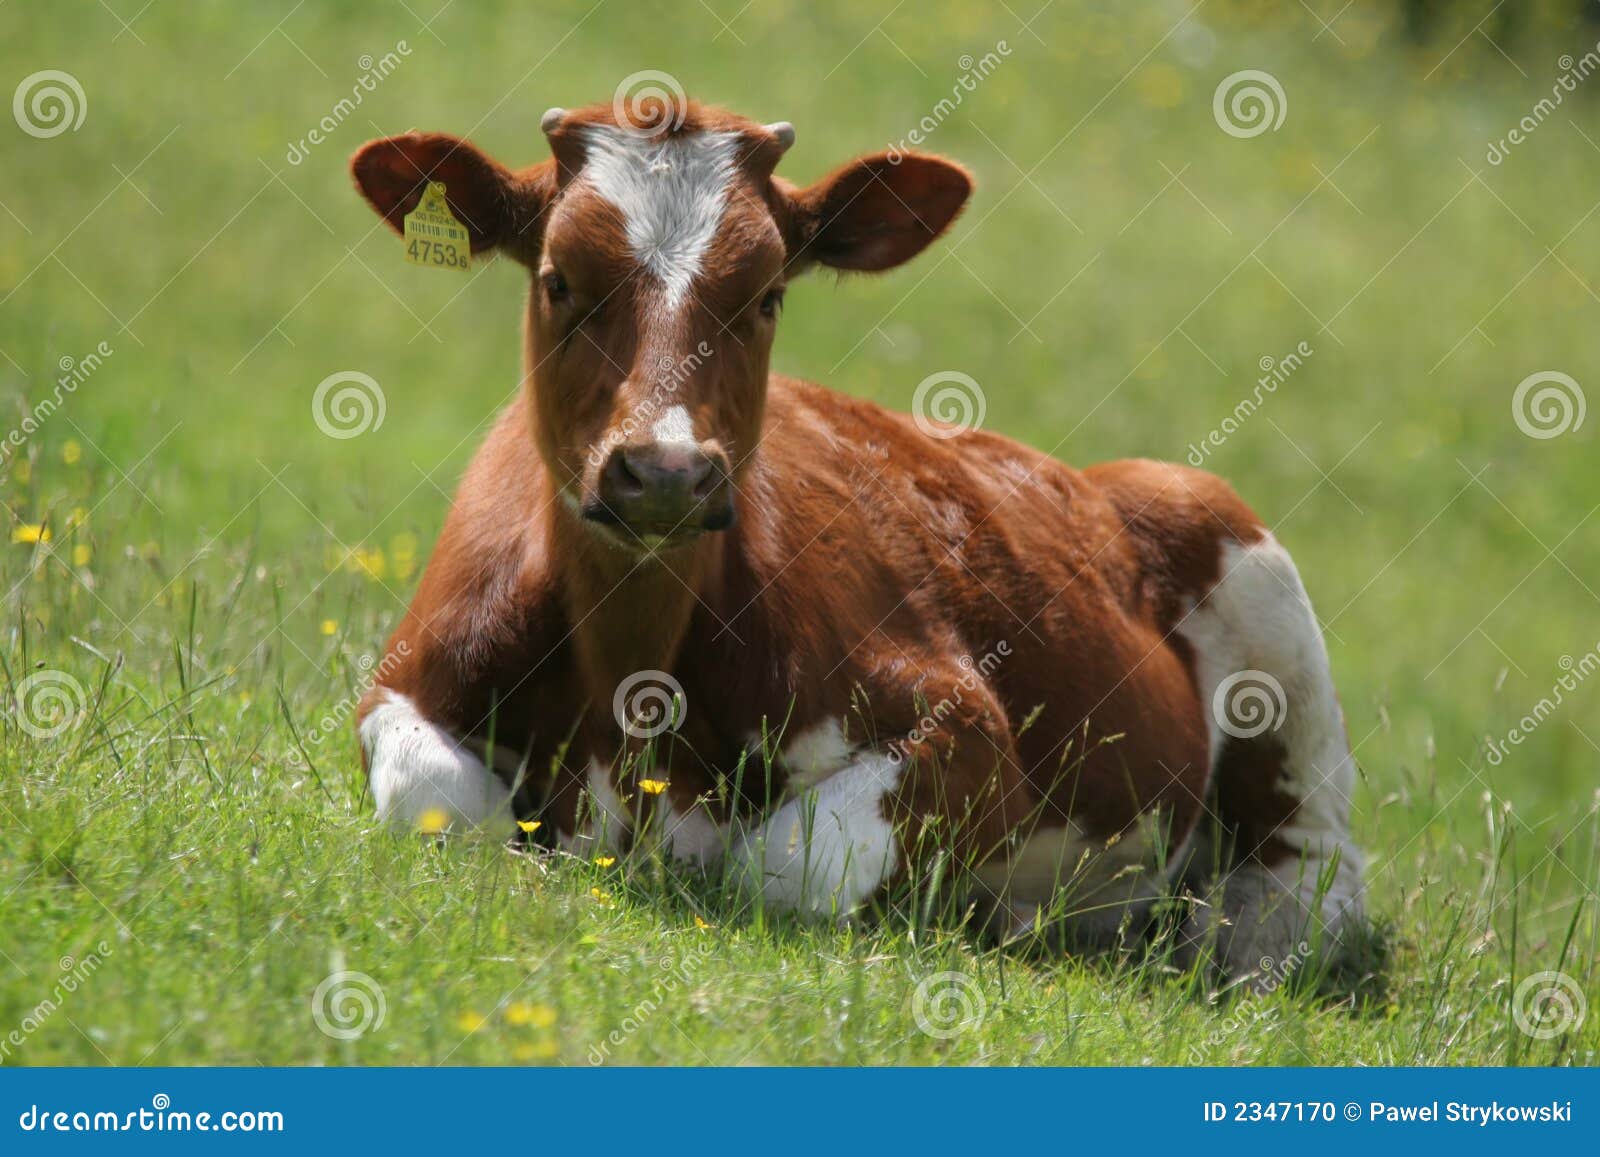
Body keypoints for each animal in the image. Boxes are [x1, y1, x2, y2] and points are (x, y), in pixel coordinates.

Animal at [348, 97, 1365, 975]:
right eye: (561, 280)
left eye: (766, 297)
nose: (666, 472)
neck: (625, 694)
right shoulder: (401, 683)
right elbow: (438, 808)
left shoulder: (966, 729)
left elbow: (780, 864)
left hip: (1237, 561)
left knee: (1317, 871)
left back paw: (1238, 940)